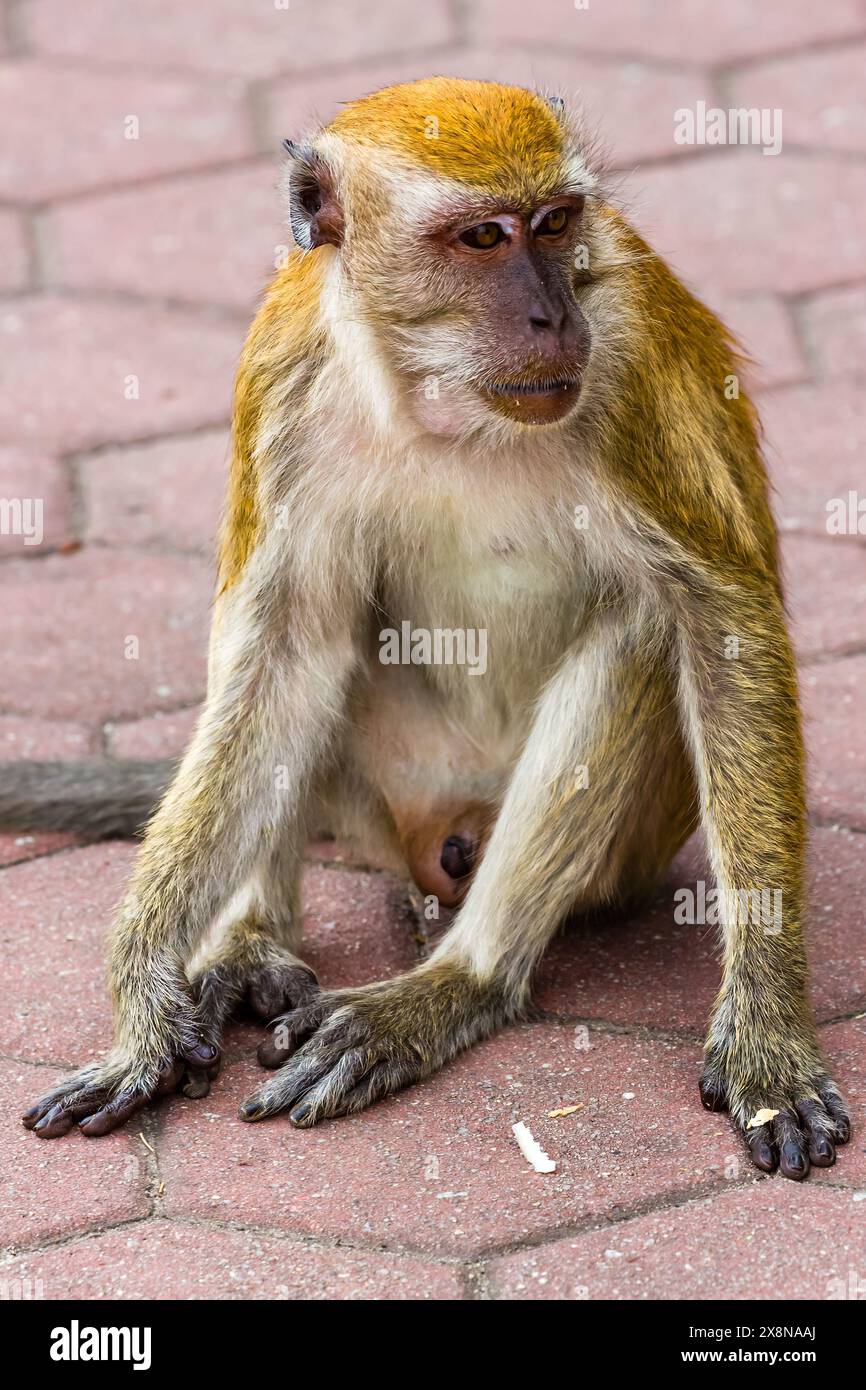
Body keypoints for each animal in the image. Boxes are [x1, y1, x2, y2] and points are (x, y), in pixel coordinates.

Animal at [9, 77, 849, 1180]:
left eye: (554, 223)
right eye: (482, 237)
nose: (551, 314)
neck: (443, 398)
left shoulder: (627, 354)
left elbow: (721, 617)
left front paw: (764, 1033)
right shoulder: (287, 361)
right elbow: (284, 647)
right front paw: (143, 1005)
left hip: (624, 848)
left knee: (636, 630)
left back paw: (457, 985)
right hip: (382, 791)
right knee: (296, 640)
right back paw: (249, 941)